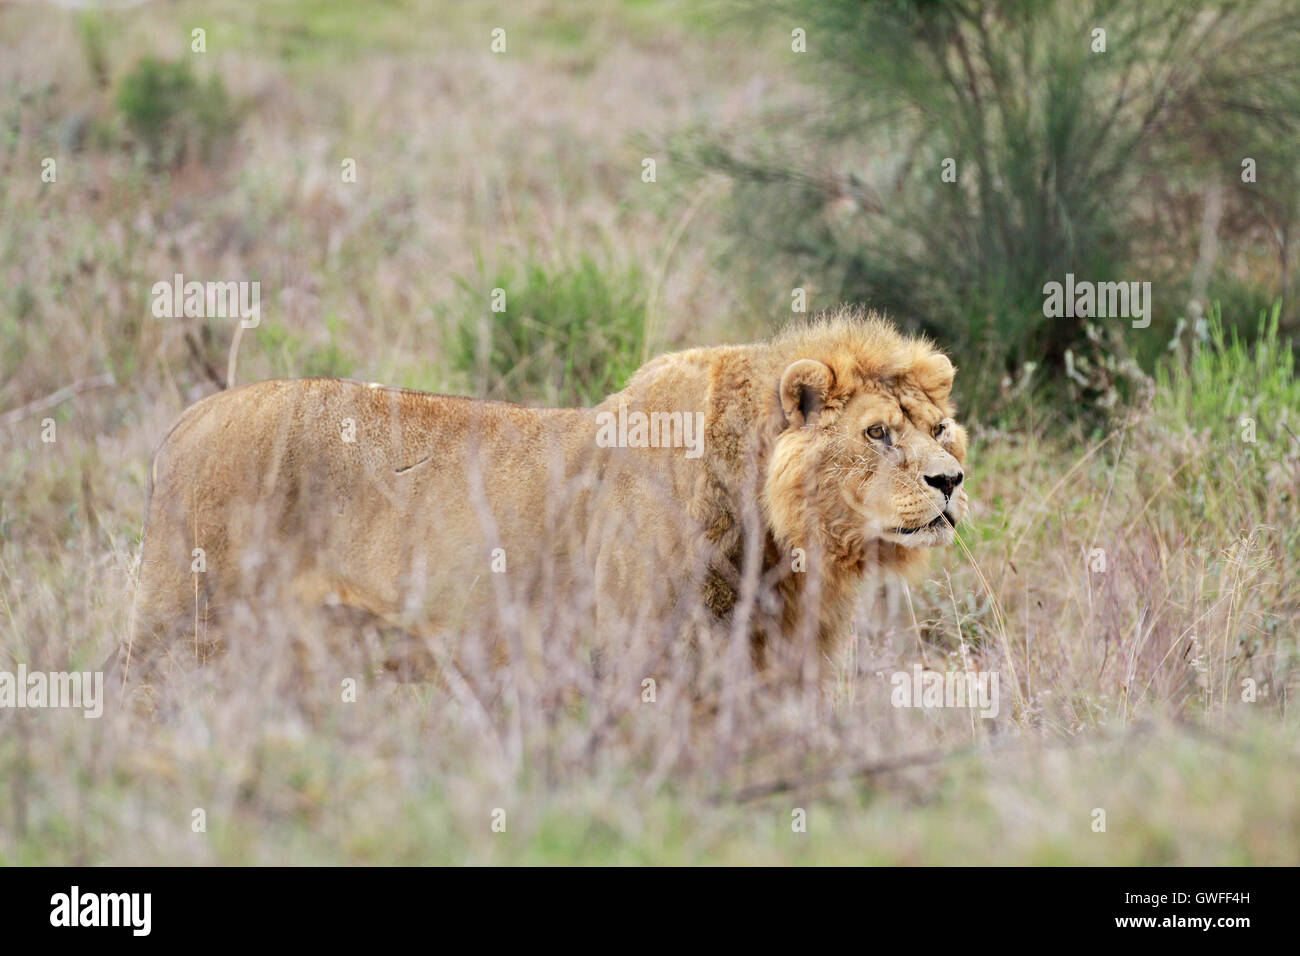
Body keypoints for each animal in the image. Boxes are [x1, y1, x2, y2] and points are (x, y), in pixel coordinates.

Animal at [119, 308, 968, 690]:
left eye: (939, 429)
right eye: (878, 433)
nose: (950, 482)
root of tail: (184, 422)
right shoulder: (639, 644)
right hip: (183, 615)